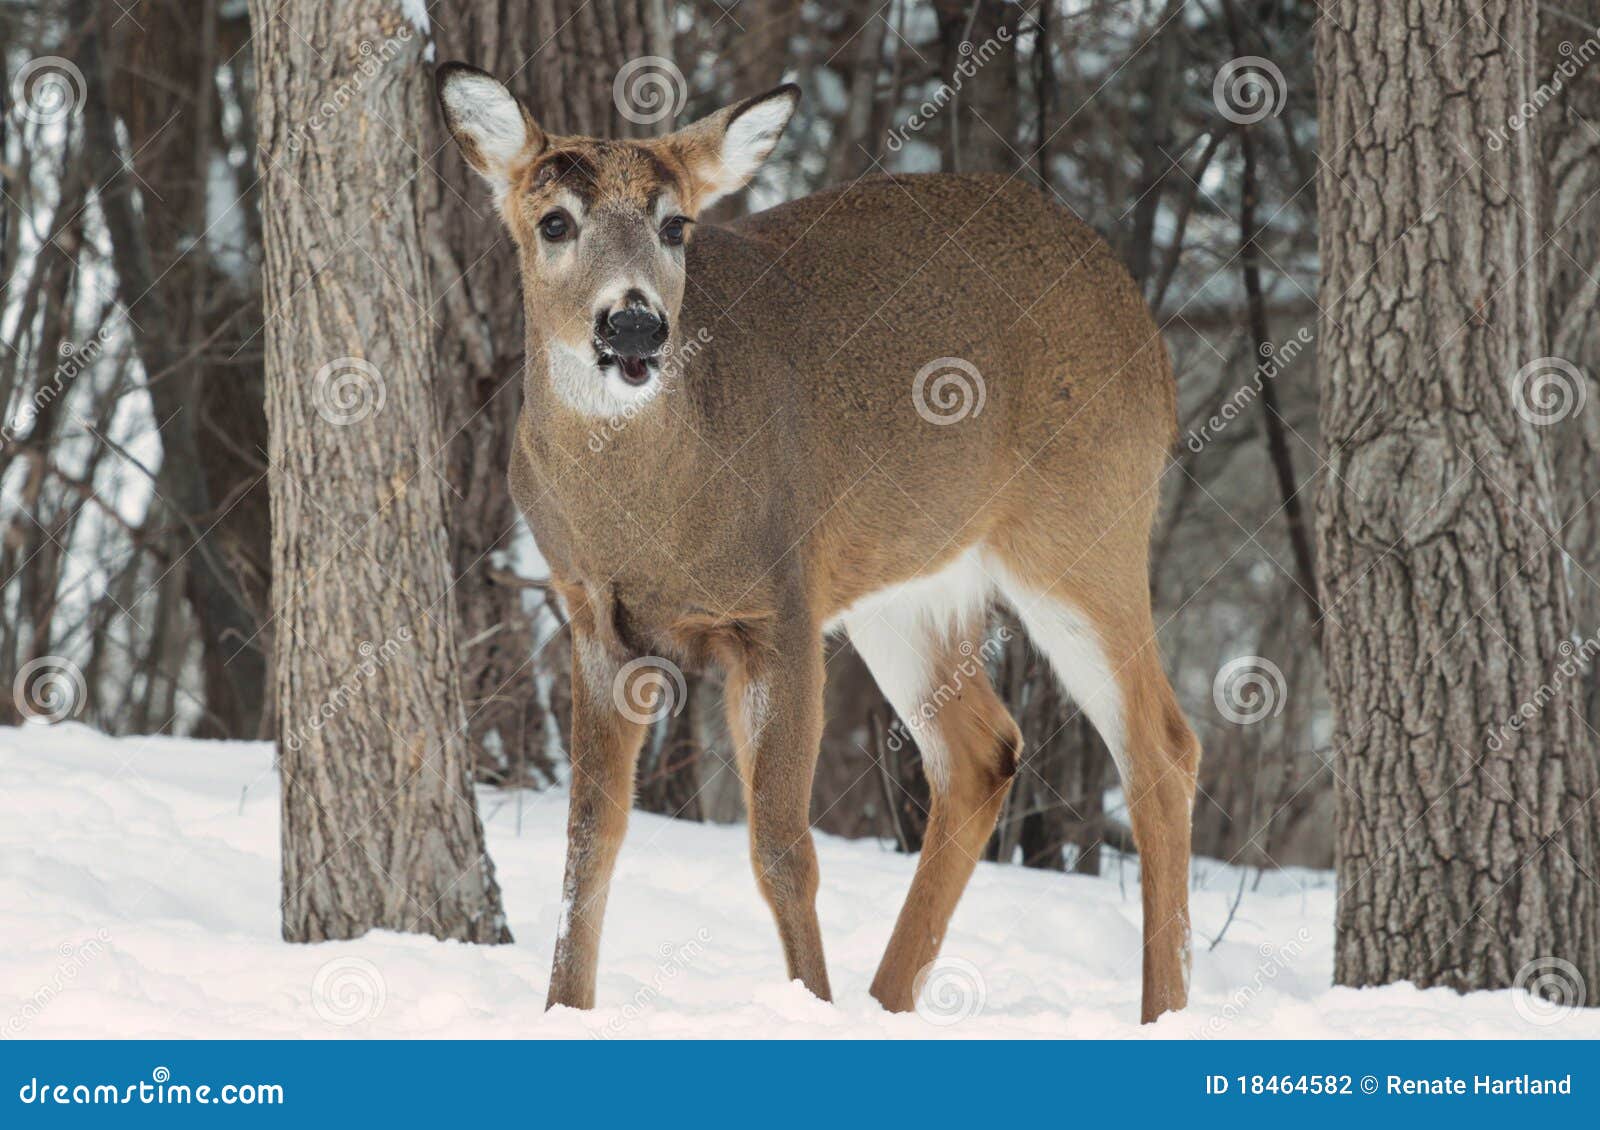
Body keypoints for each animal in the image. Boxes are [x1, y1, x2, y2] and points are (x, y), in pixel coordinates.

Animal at [436, 62, 1201, 1025]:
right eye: (554, 223)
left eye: (675, 224)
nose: (634, 324)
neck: (648, 521)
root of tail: (1141, 315)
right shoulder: (592, 618)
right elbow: (589, 839)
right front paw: (563, 1013)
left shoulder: (781, 605)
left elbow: (781, 846)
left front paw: (810, 1004)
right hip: (908, 588)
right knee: (983, 750)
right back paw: (887, 1002)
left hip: (1085, 523)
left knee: (1162, 748)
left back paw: (1163, 1012)